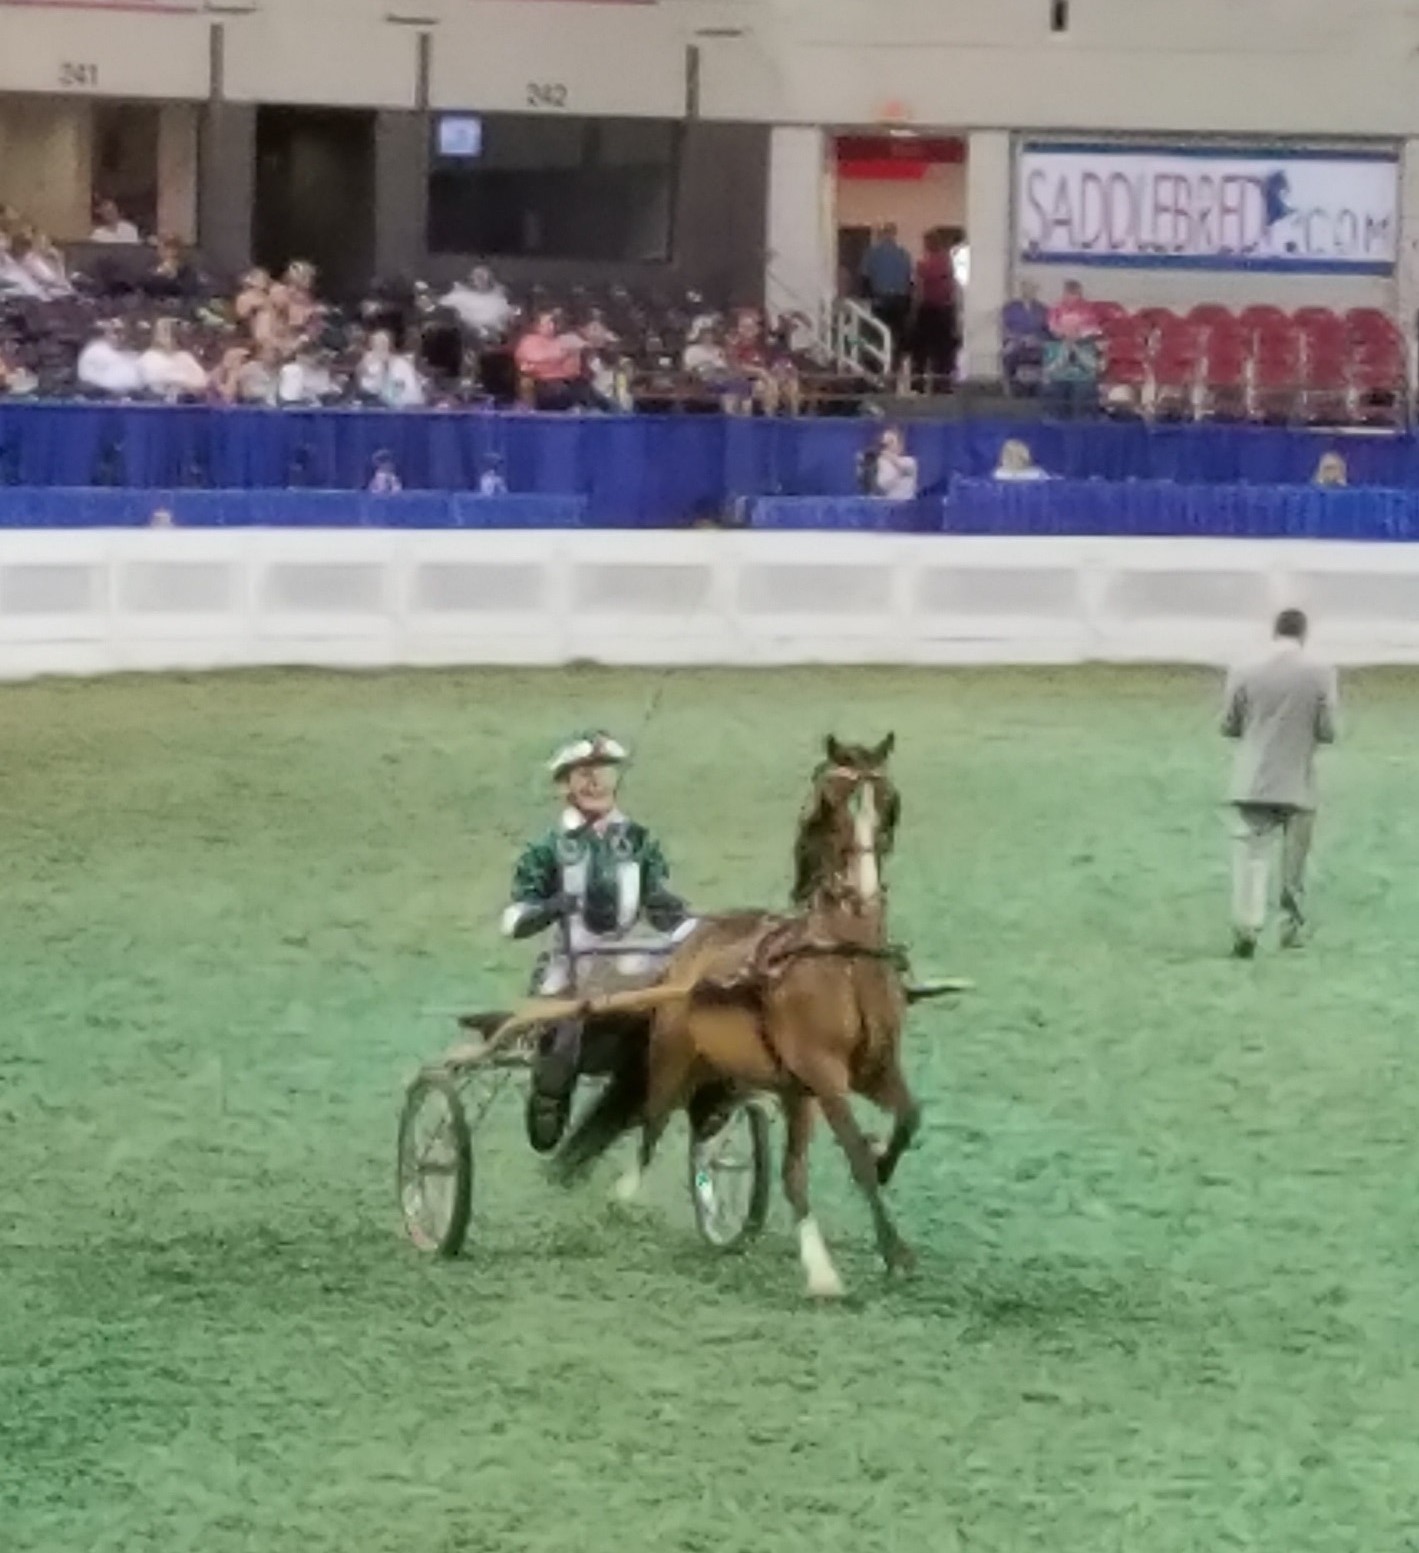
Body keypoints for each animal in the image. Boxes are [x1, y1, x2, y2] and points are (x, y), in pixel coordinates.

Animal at [551, 733, 922, 1298]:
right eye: (830, 803)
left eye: (888, 801)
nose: (860, 893)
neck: (843, 957)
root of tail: (689, 948)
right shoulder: (826, 1075)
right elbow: (855, 1152)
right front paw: (894, 1250)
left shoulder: (874, 1069)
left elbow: (908, 1119)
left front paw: (884, 1161)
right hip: (677, 1060)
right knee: (652, 1124)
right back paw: (626, 1197)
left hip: (781, 1090)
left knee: (776, 1165)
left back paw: (812, 1263)